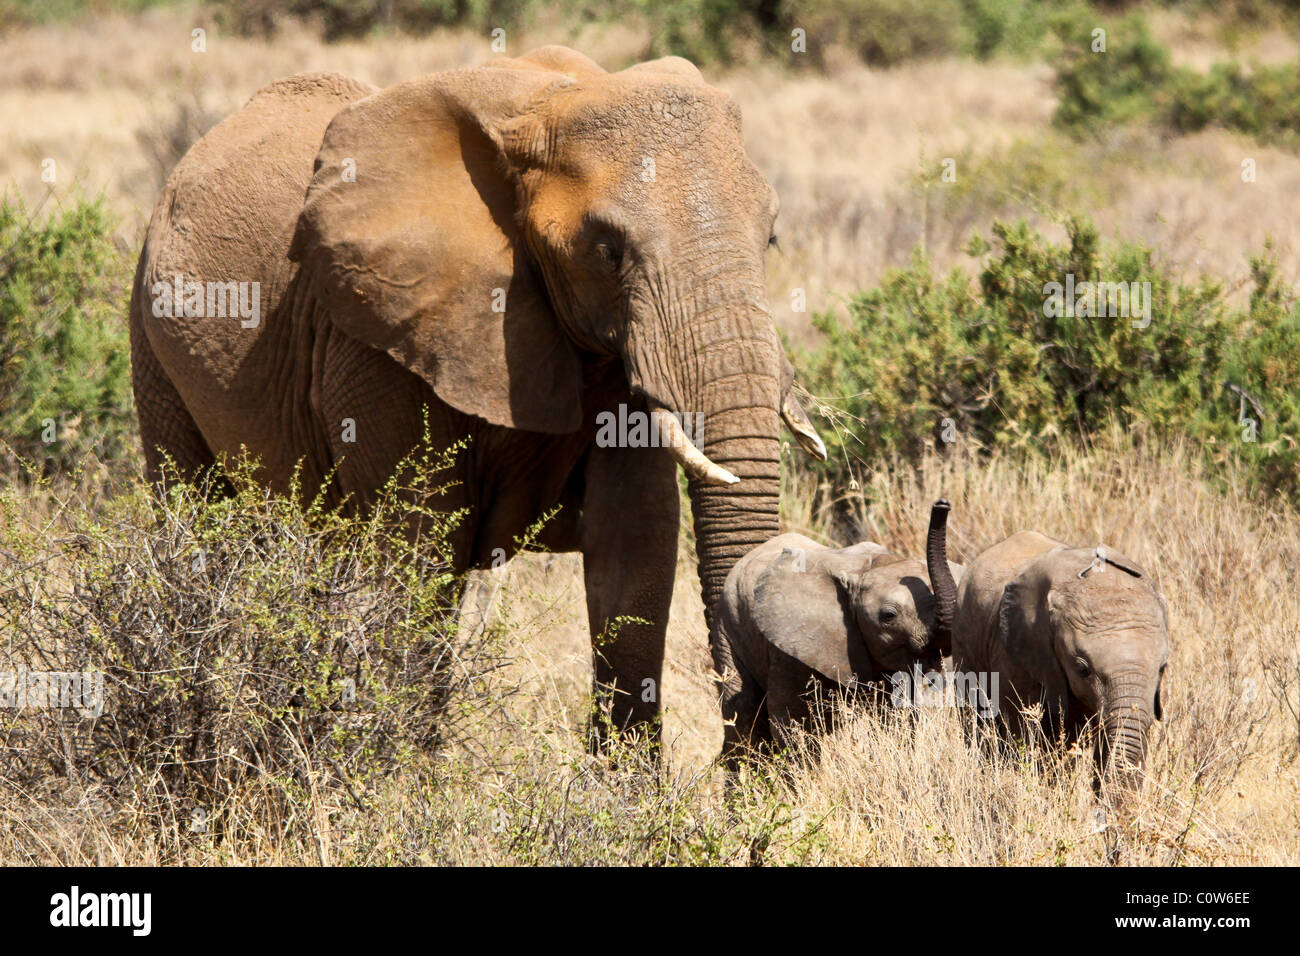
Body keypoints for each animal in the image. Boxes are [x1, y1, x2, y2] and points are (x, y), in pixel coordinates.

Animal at [127, 47, 827, 748]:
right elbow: (418, 548)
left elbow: (637, 543)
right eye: (607, 249)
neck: (545, 107)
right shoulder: (374, 338)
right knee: (198, 517)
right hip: (150, 337)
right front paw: (402, 770)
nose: (751, 742)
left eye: (771, 238)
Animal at [712, 501, 962, 761]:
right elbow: (793, 722)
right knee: (743, 712)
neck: (864, 569)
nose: (942, 504)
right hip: (729, 629)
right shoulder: (789, 648)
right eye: (888, 616)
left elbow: (896, 714)